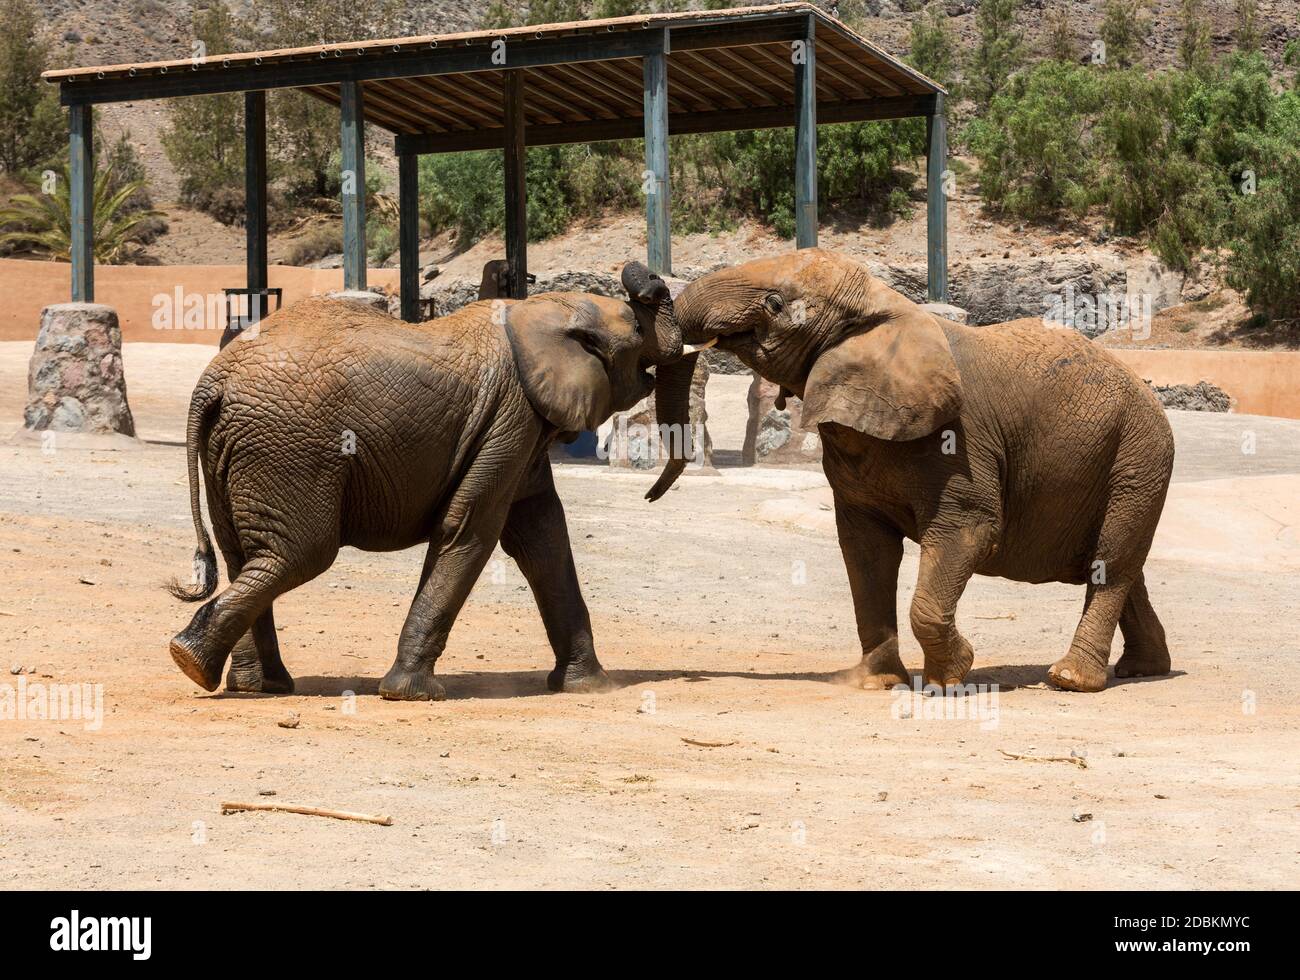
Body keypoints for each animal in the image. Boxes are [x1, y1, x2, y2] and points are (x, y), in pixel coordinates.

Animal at [167, 261, 691, 701]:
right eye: (638, 330)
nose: (646, 276)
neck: (539, 312)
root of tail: (213, 382)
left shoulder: (516, 426)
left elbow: (542, 536)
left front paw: (590, 687)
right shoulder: (512, 414)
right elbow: (470, 529)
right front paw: (412, 694)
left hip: (240, 451)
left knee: (244, 555)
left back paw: (249, 683)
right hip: (288, 449)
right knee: (298, 553)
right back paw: (195, 662)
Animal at [659, 249, 1174, 693]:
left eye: (775, 304)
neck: (881, 303)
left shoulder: (961, 440)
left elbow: (968, 530)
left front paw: (951, 678)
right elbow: (866, 549)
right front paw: (879, 683)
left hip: (1139, 455)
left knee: (1112, 561)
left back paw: (1070, 679)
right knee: (1115, 565)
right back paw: (1142, 669)